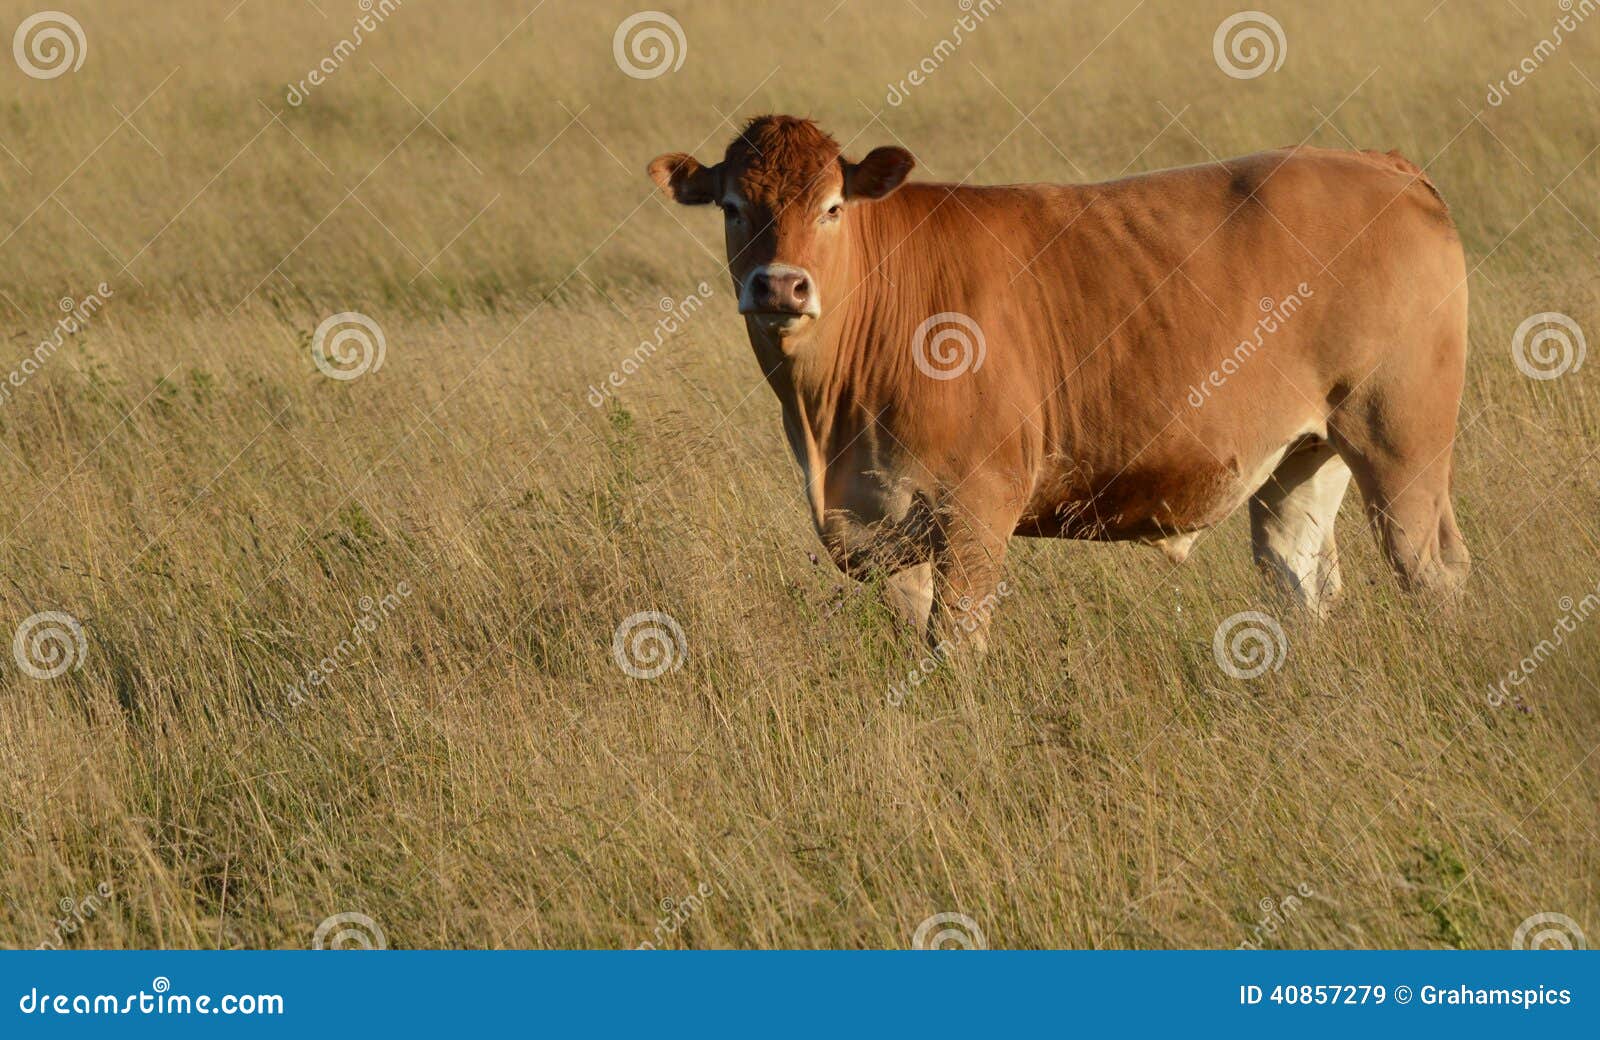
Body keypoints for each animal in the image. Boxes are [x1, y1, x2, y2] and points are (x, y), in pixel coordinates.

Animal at [648, 115, 1470, 654]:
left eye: (831, 205)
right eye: (732, 207)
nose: (780, 286)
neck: (827, 426)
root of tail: (1377, 162)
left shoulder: (977, 507)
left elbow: (956, 645)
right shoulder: (888, 526)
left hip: (1401, 445)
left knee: (1432, 575)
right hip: (1302, 457)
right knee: (1299, 585)